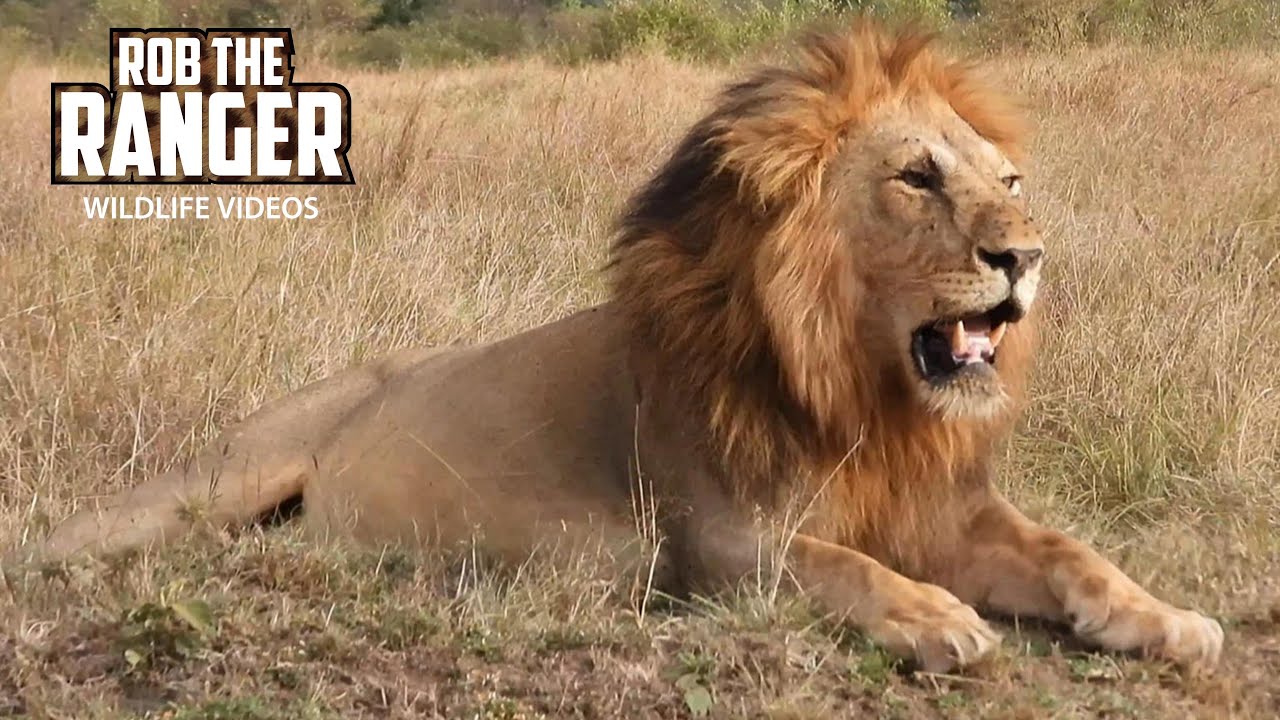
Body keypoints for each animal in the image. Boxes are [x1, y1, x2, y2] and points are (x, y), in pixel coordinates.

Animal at [18, 23, 1222, 674]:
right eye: (916, 178)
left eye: (1008, 179)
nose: (1026, 253)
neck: (857, 390)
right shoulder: (711, 543)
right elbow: (828, 562)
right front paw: (936, 617)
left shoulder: (942, 508)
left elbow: (1068, 550)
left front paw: (1163, 618)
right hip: (215, 477)